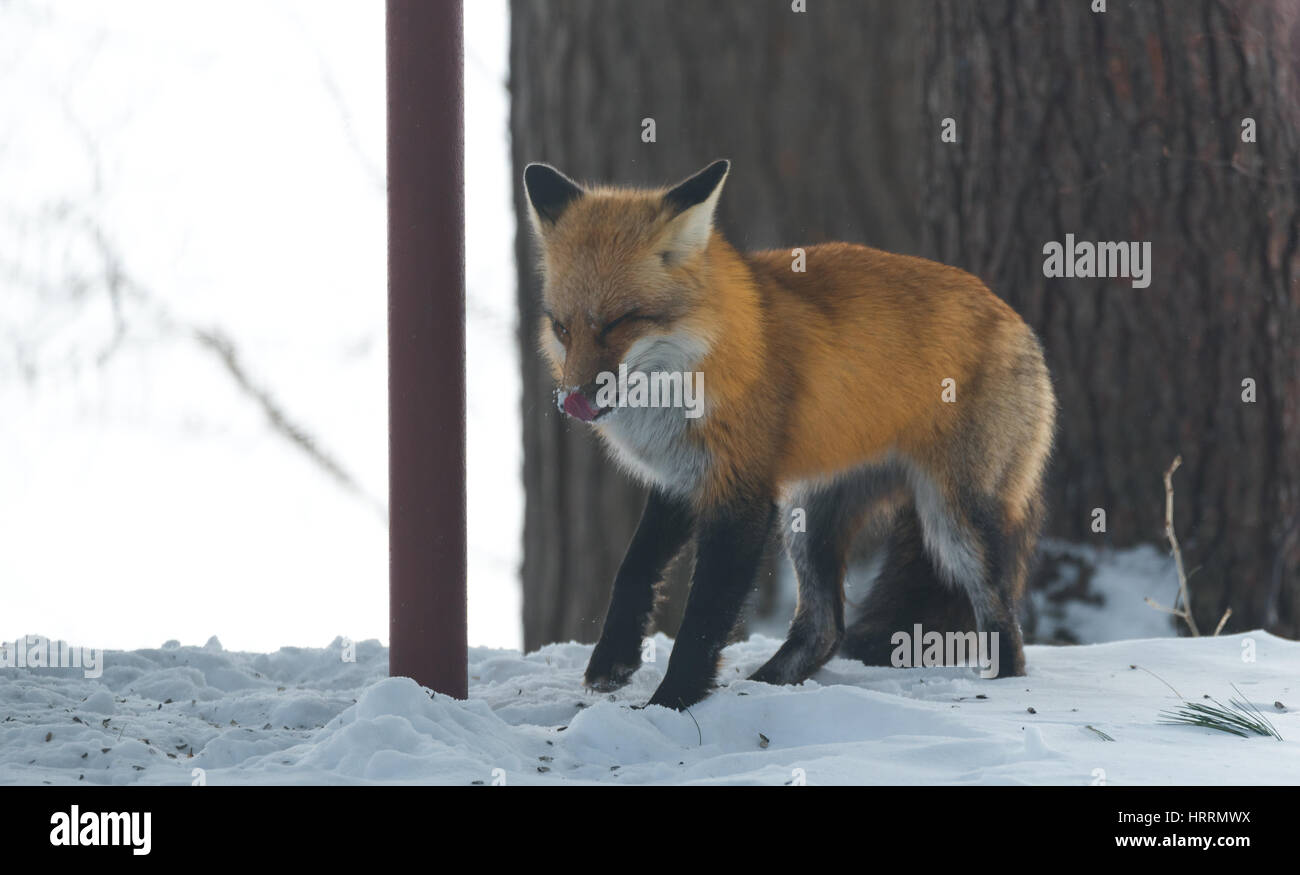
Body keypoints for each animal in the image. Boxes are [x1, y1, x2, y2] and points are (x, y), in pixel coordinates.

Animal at [523, 158, 1056, 711]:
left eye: (619, 323)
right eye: (562, 329)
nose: (572, 401)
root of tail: (1016, 319)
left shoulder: (742, 495)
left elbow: (703, 619)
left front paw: (670, 704)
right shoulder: (683, 478)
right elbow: (633, 570)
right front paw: (612, 662)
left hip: (953, 519)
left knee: (1002, 616)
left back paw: (1003, 692)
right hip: (809, 518)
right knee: (824, 629)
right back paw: (765, 688)